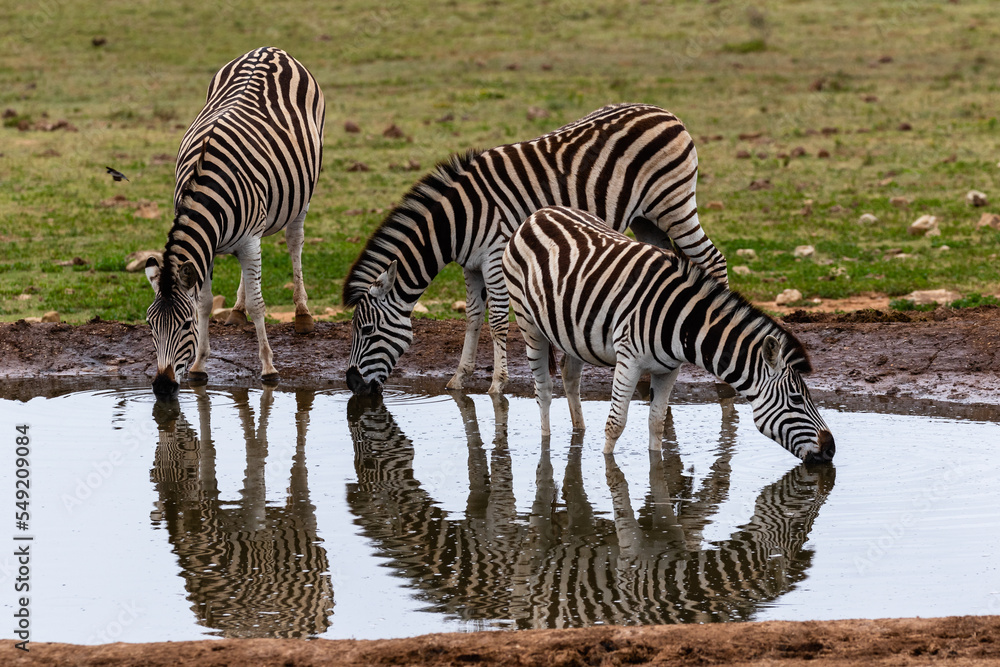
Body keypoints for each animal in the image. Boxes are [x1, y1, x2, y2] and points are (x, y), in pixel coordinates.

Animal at [144, 46, 325, 398]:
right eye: (150, 326)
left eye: (184, 325)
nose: (162, 386)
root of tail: (270, 49)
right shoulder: (210, 247)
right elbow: (204, 302)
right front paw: (199, 366)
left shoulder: (248, 238)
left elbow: (258, 304)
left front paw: (268, 368)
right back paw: (237, 312)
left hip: (304, 192)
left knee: (294, 241)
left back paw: (303, 314)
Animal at [344, 103, 726, 397]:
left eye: (367, 331)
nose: (351, 384)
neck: (457, 221)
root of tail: (665, 112)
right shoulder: (471, 266)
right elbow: (473, 317)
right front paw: (459, 378)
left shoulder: (496, 255)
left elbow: (498, 320)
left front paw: (497, 384)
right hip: (648, 219)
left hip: (673, 204)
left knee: (713, 258)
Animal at [502, 206, 836, 463]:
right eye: (796, 399)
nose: (831, 450)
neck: (682, 325)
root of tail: (539, 213)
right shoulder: (629, 361)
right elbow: (615, 424)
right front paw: (609, 466)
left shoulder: (669, 369)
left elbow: (657, 423)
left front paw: (656, 468)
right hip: (528, 321)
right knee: (544, 391)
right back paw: (546, 444)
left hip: (573, 332)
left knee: (571, 378)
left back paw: (578, 433)